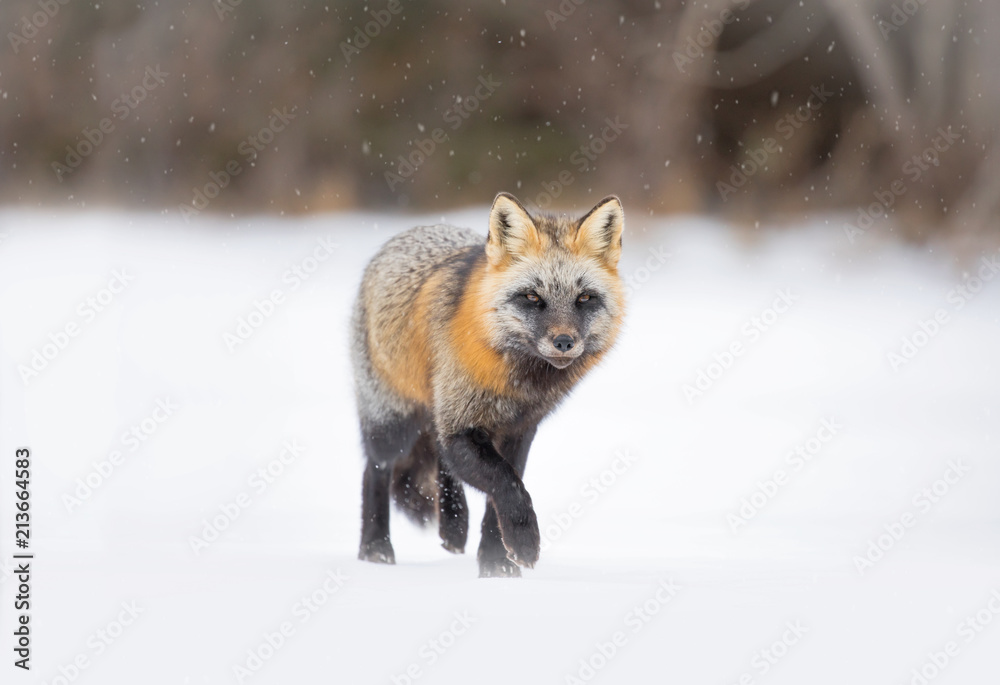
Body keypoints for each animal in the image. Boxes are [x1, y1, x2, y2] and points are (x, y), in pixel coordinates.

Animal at [350, 192, 625, 577]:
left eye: (584, 298)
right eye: (532, 297)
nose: (564, 342)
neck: (514, 384)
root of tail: (407, 233)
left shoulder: (519, 431)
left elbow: (501, 491)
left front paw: (496, 563)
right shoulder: (460, 424)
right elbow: (507, 485)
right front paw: (522, 543)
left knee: (438, 459)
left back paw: (454, 527)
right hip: (393, 424)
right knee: (374, 470)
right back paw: (375, 547)